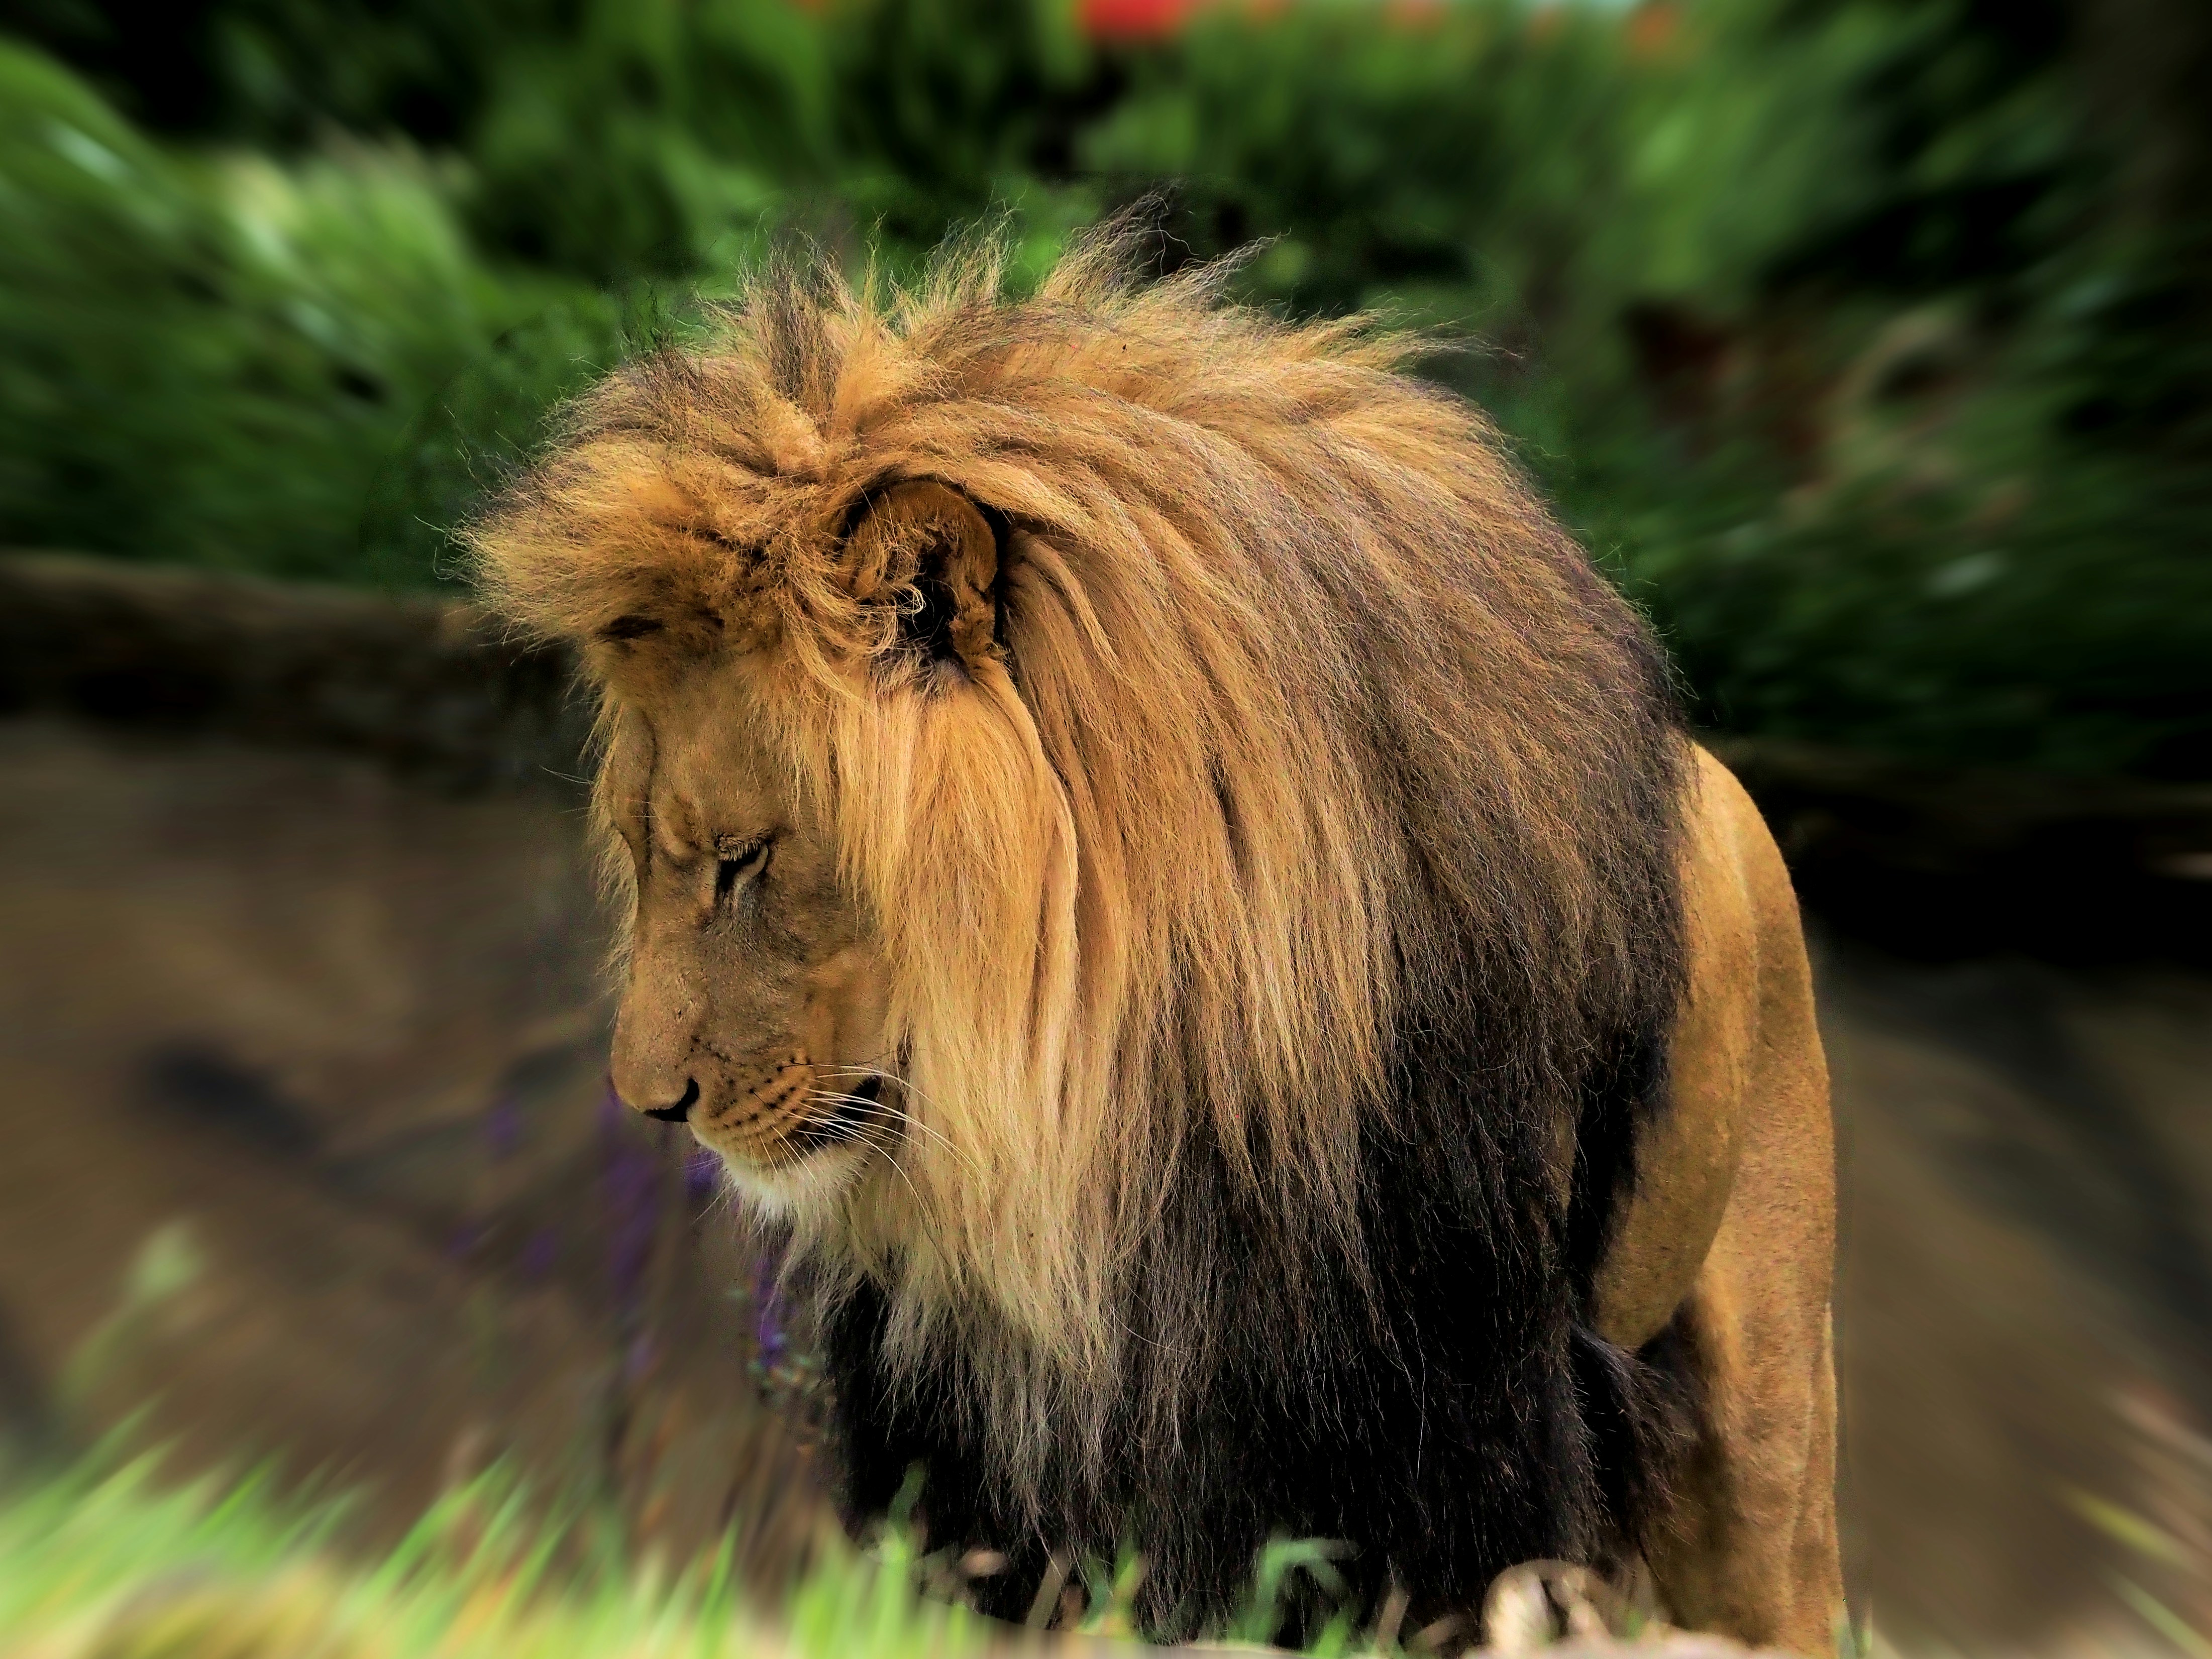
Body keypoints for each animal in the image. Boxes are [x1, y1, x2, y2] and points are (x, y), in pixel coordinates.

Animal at [469, 222, 1842, 1650]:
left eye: (743, 859)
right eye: (646, 856)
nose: (650, 1103)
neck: (1109, 1115)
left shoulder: (1444, 1447)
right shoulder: (989, 1479)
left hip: (1761, 1448)